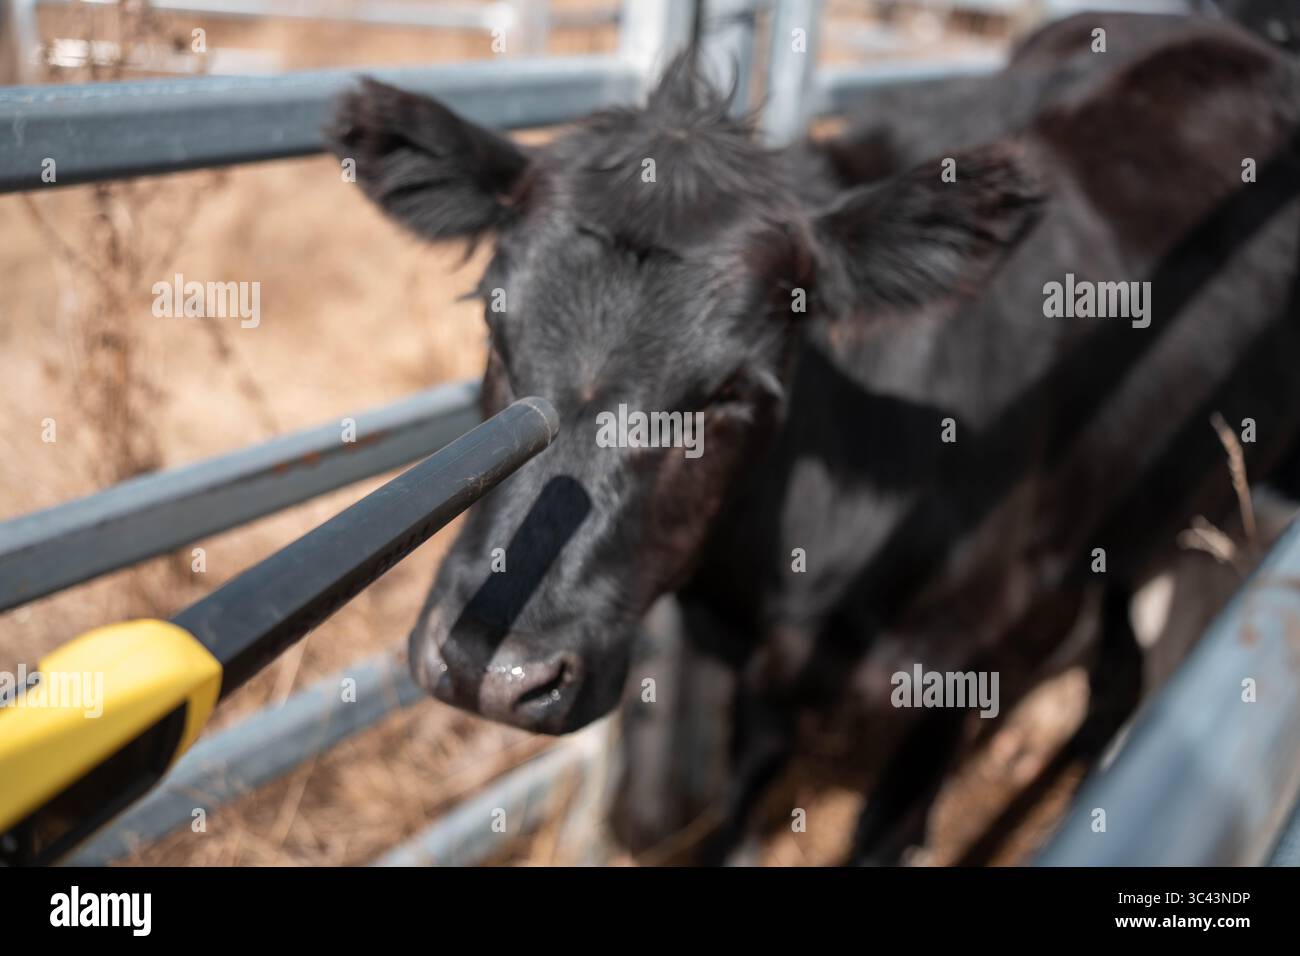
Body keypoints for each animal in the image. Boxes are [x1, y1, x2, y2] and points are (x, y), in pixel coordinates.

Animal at [329, 12, 1300, 863]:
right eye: (496, 327)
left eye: (733, 389)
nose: (493, 670)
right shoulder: (762, 674)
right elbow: (737, 812)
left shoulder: (959, 663)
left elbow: (883, 834)